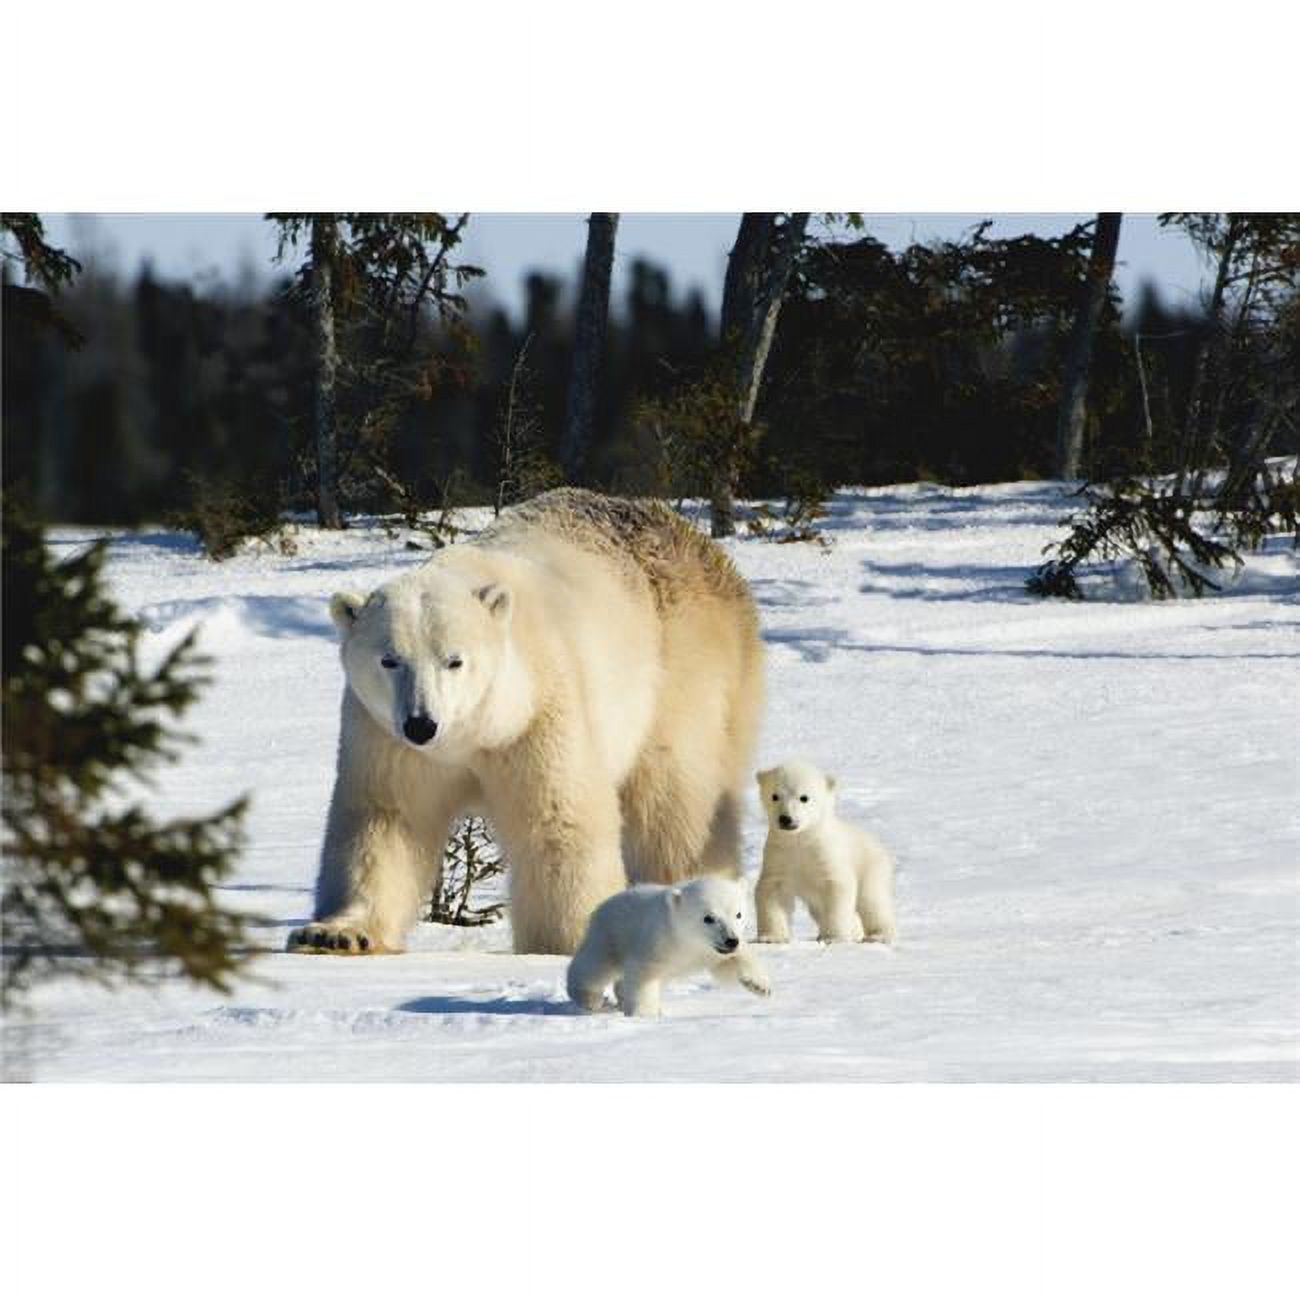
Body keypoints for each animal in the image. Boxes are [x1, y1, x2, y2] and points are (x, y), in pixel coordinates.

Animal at [288, 489, 764, 957]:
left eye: (454, 660)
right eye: (389, 660)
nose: (422, 724)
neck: (475, 732)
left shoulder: (538, 713)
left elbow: (558, 820)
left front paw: (568, 941)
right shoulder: (387, 738)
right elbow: (387, 820)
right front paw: (335, 933)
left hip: (684, 671)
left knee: (677, 800)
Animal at [566, 876, 772, 1016]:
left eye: (738, 914)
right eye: (708, 918)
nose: (731, 940)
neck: (687, 941)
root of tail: (603, 905)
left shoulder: (711, 952)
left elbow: (730, 962)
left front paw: (760, 986)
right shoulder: (657, 941)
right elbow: (644, 974)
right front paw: (644, 1013)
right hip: (609, 935)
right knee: (594, 966)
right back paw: (590, 999)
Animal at [755, 759, 897, 944]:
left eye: (804, 797)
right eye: (774, 795)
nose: (785, 819)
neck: (801, 839)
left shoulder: (826, 854)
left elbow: (837, 887)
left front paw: (833, 937)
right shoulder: (779, 855)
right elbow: (772, 890)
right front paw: (771, 937)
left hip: (870, 866)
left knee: (872, 901)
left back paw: (878, 935)